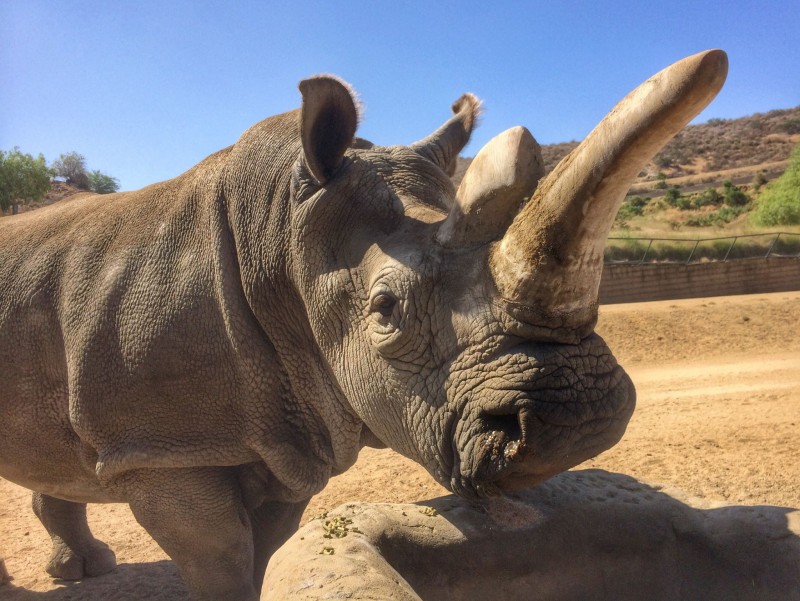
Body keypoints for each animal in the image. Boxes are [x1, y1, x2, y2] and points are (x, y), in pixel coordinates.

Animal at [0, 50, 726, 600]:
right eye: (385, 310)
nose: (580, 420)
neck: (283, 236)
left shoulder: (291, 430)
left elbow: (267, 545)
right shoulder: (157, 448)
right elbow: (220, 557)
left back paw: (83, 570)